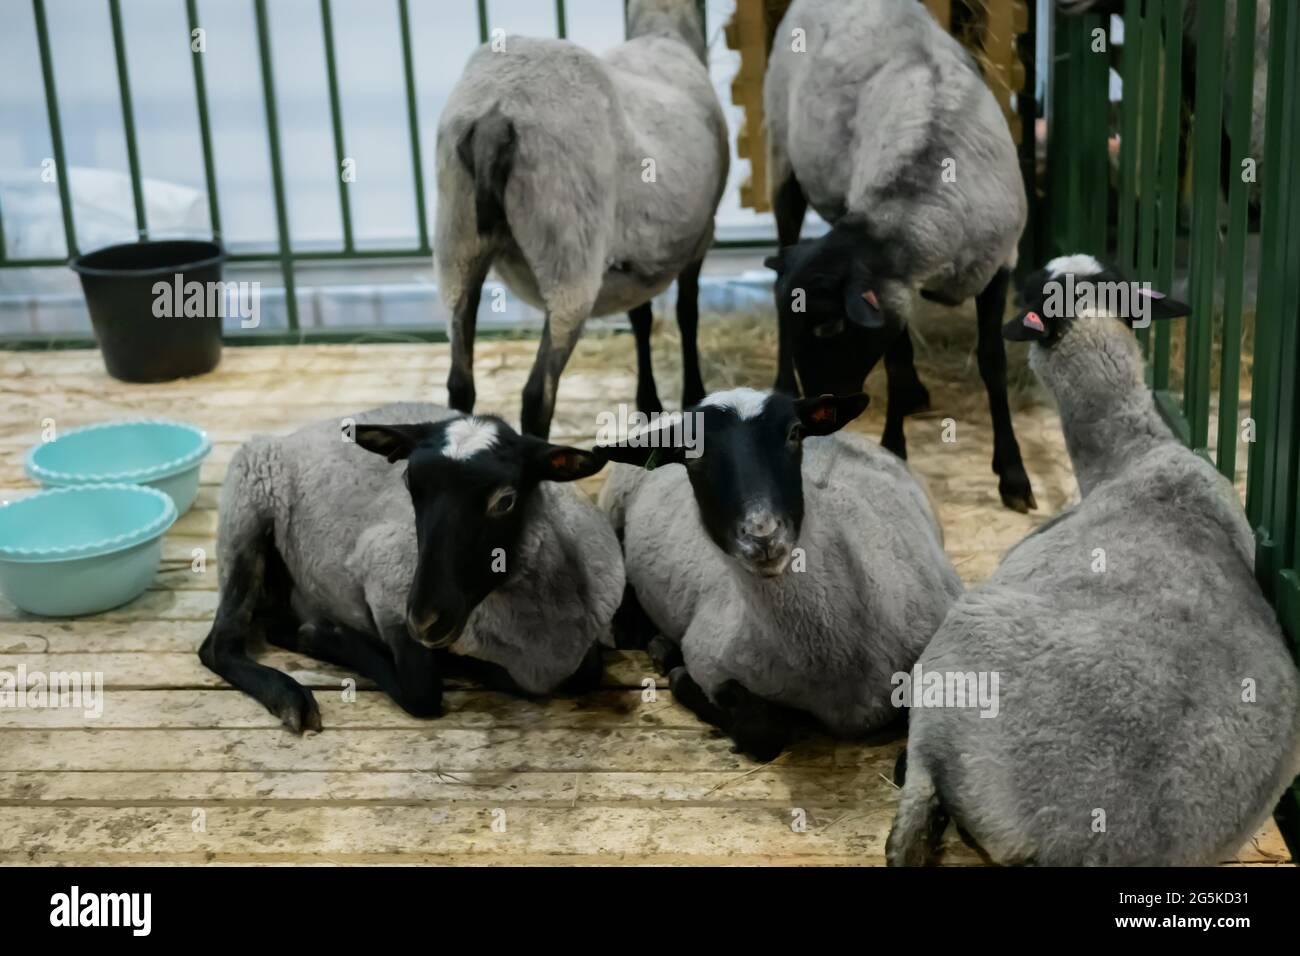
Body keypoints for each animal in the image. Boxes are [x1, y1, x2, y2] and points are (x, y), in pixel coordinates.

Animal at [199, 402, 623, 733]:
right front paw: (322, 636)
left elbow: (588, 672)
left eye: (505, 500)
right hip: (246, 505)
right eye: (408, 484)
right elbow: (422, 692)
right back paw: (290, 693)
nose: (424, 619)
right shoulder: (384, 582)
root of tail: (294, 434)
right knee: (218, 645)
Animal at [435, 0, 730, 438]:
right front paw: (693, 395)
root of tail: (495, 115)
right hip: (568, 249)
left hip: (457, 243)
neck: (662, 31)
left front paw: (650, 406)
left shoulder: (634, 258)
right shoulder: (700, 237)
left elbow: (641, 318)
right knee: (536, 395)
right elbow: (687, 313)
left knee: (459, 383)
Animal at [597, 388, 963, 760]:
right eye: (689, 452)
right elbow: (760, 732)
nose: (763, 535)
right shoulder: (708, 657)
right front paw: (677, 672)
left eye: (795, 432)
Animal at [762, 0, 1033, 512]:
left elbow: (993, 362)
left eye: (829, 328)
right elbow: (894, 356)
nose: (814, 418)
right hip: (782, 157)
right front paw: (895, 449)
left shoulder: (1000, 265)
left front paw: (1013, 475)